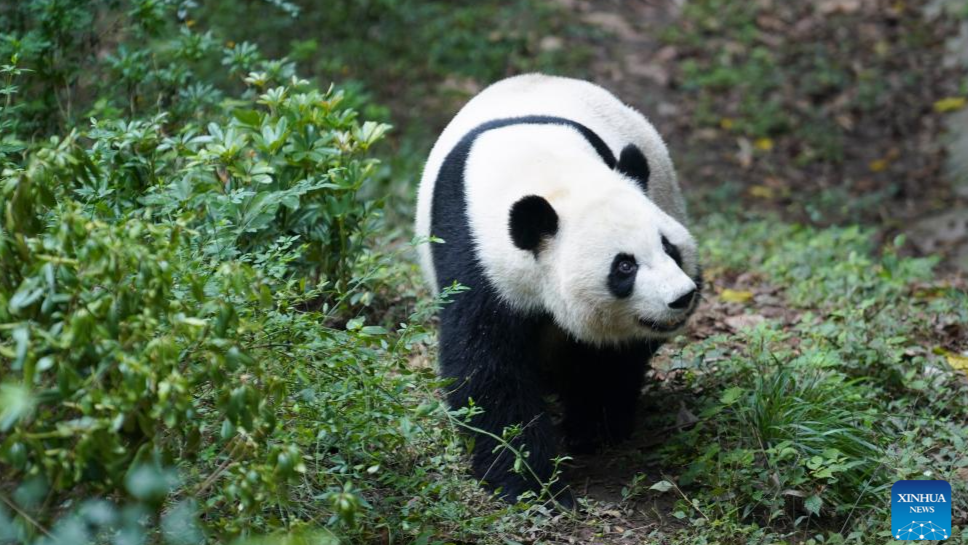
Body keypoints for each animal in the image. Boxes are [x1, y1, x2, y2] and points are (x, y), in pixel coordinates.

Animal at [415, 74, 701, 506]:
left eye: (669, 248)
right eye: (625, 266)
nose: (681, 297)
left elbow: (605, 357)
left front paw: (590, 427)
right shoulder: (473, 254)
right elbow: (488, 367)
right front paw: (528, 481)